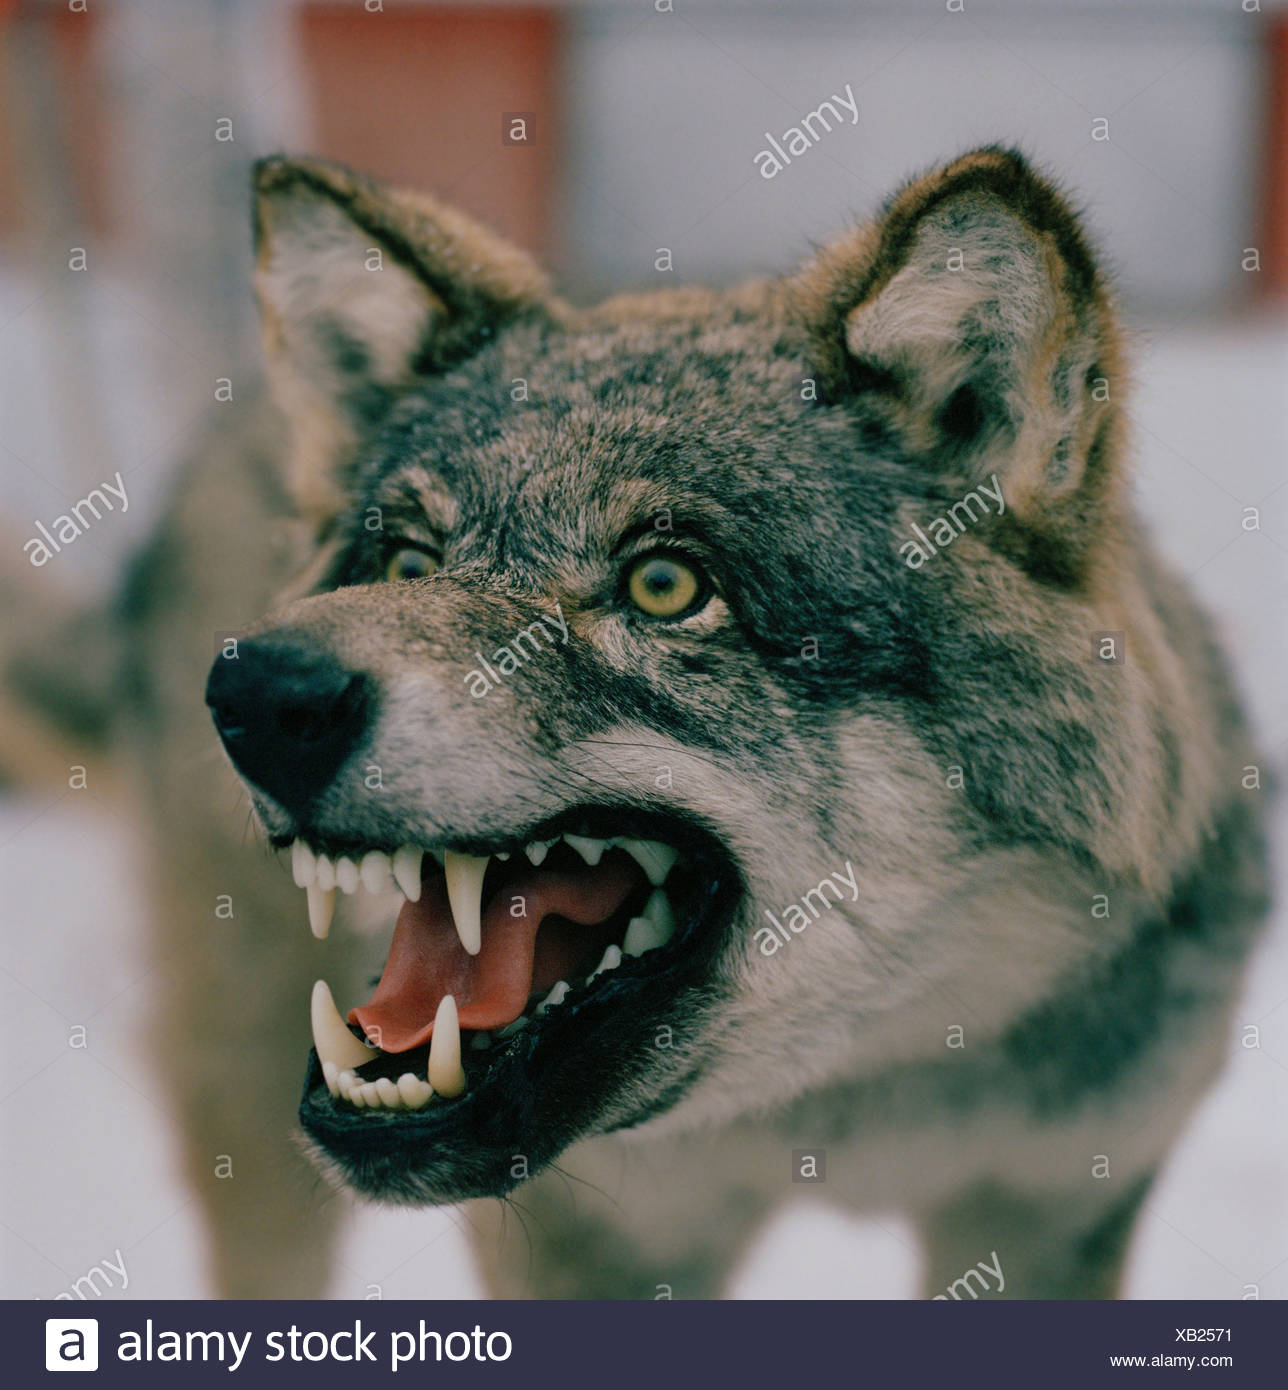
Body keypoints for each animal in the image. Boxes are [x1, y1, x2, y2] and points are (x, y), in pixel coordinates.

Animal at [5, 147, 1269, 1299]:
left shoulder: (1050, 1212)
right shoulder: (593, 1244)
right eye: (404, 560)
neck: (842, 1103)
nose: (264, 693)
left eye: (664, 585)